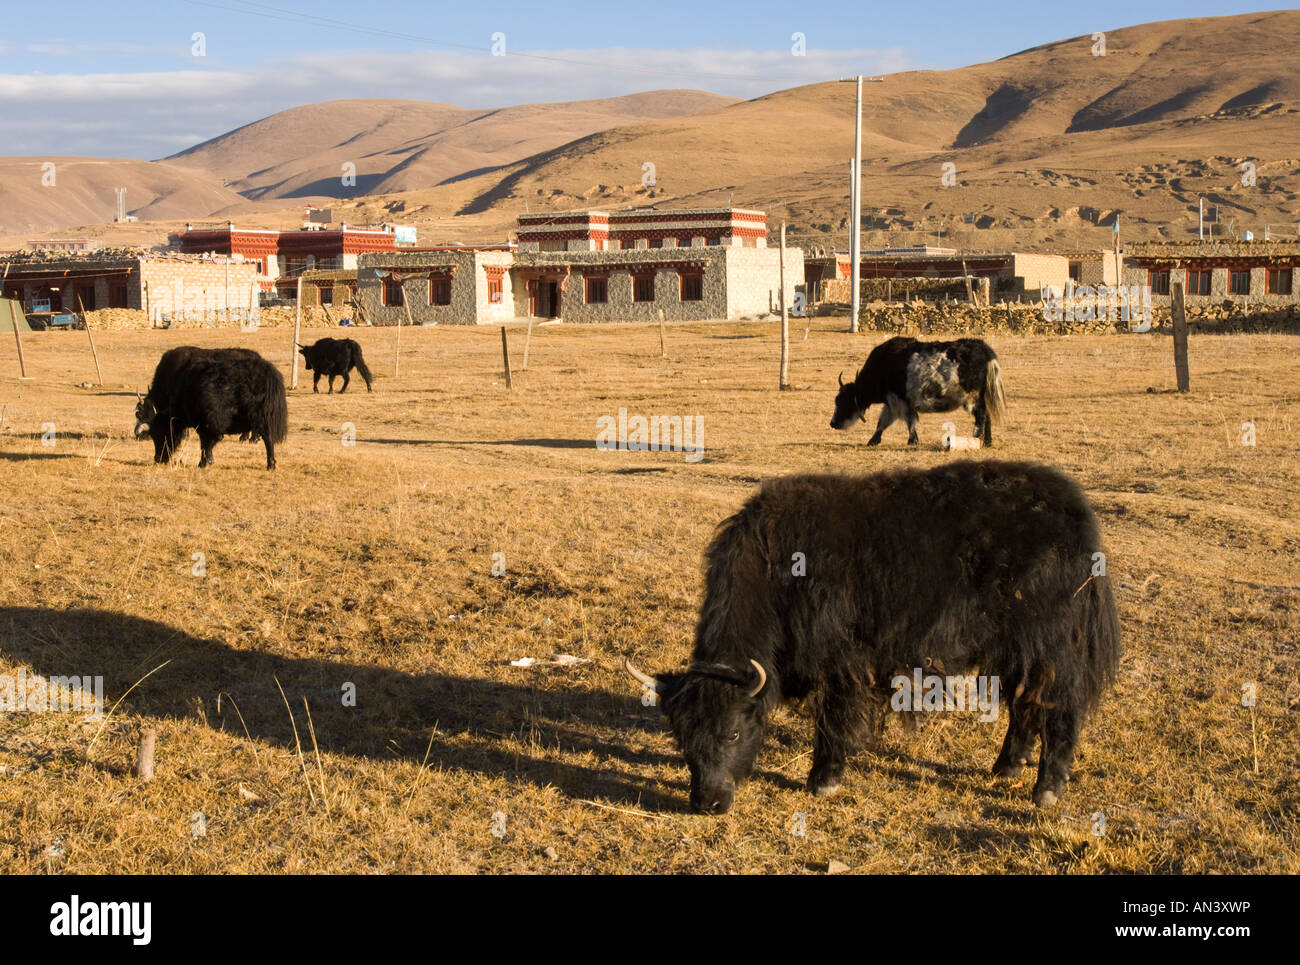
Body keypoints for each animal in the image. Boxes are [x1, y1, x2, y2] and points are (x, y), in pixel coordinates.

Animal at [134, 353, 288, 469]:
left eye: (160, 432)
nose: (158, 459)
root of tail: (271, 375)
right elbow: (208, 443)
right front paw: (209, 461)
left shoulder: (206, 424)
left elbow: (205, 443)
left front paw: (202, 463)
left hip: (261, 418)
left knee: (268, 439)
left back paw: (270, 464)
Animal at [625, 461, 1120, 814]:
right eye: (680, 737)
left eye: (731, 733)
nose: (707, 803)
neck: (774, 568)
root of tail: (1077, 515)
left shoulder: (841, 658)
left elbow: (835, 714)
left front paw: (823, 780)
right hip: (1012, 647)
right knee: (1023, 704)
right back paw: (1004, 768)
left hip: (1052, 643)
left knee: (1060, 705)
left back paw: (1046, 790)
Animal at [830, 336, 1007, 447]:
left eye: (842, 401)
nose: (833, 424)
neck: (882, 368)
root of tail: (984, 349)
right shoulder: (892, 401)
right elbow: (883, 422)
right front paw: (873, 440)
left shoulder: (899, 400)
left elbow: (908, 421)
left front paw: (912, 441)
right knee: (987, 416)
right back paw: (988, 442)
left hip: (972, 398)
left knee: (981, 416)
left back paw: (976, 438)